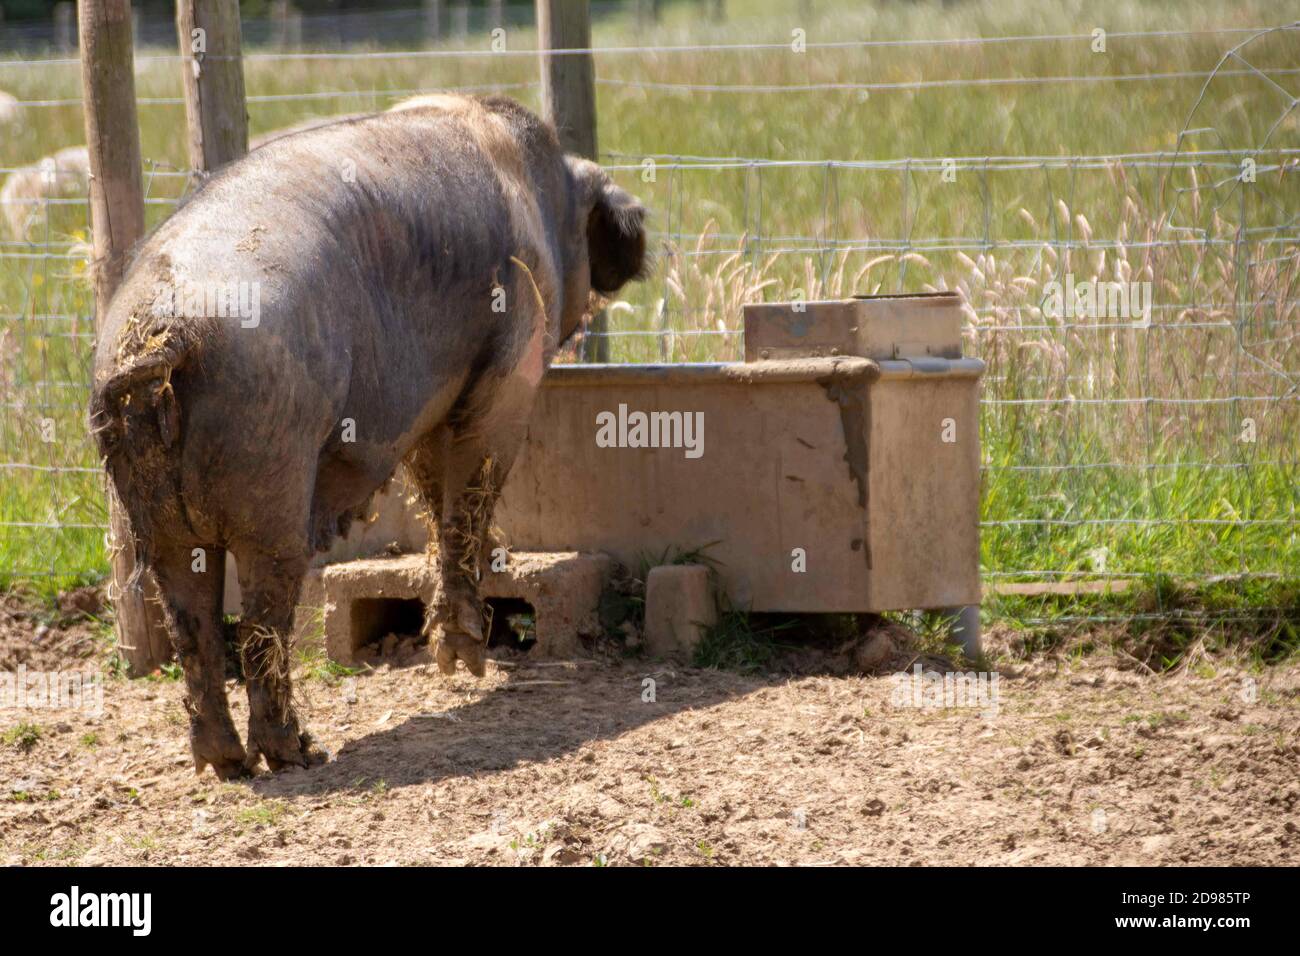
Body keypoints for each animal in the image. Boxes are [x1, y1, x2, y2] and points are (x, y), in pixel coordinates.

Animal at [89, 94, 647, 778]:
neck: (545, 199)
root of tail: (163, 333)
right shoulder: (512, 360)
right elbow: (471, 489)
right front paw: (467, 662)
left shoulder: (429, 403)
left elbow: (434, 487)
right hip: (271, 475)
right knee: (262, 617)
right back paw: (299, 754)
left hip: (151, 512)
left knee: (191, 625)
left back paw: (226, 764)